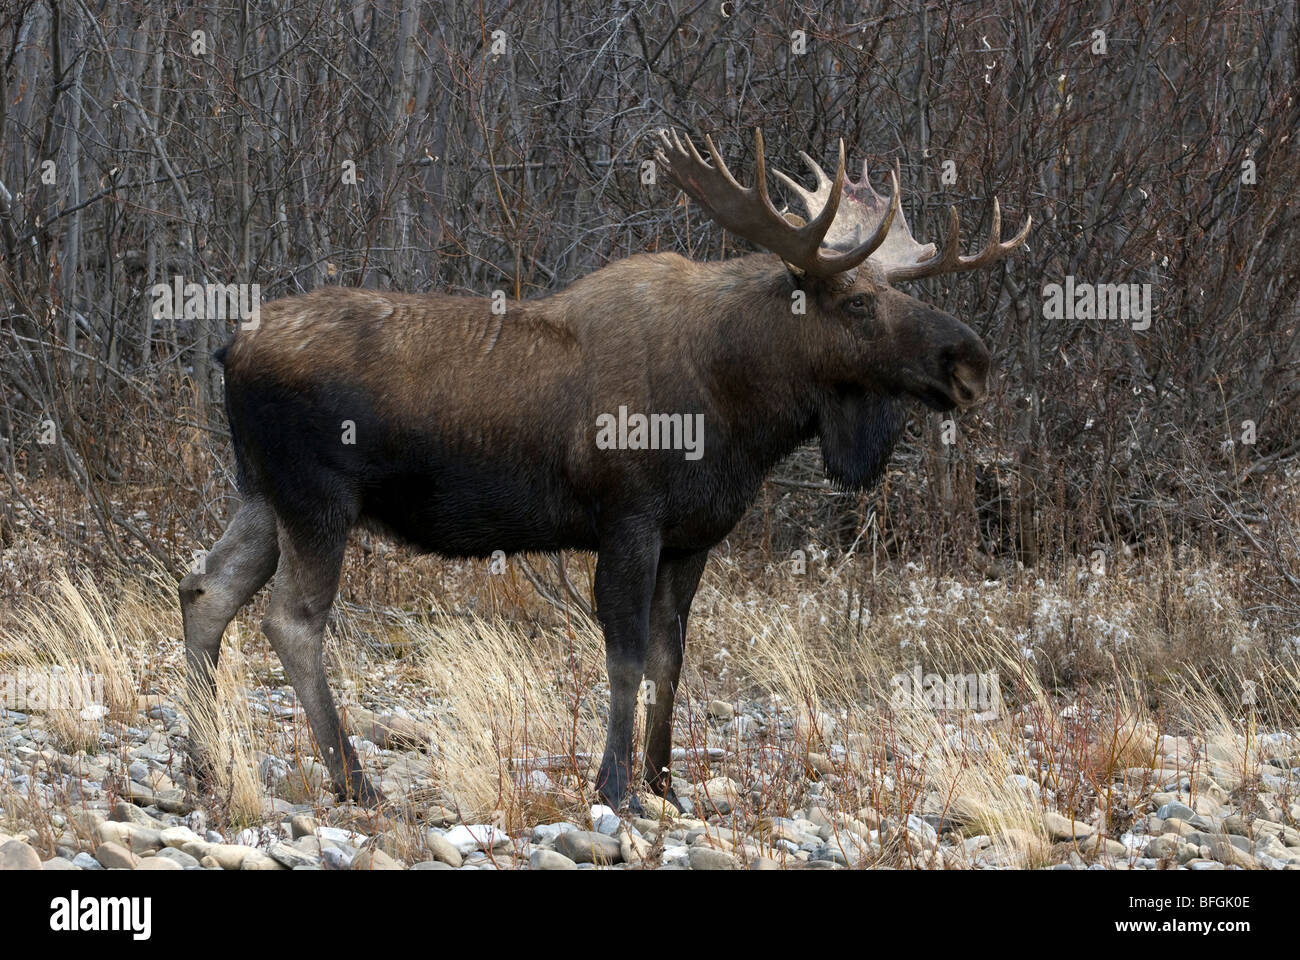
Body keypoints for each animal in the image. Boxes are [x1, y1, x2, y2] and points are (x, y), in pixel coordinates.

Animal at [178, 129, 1030, 814]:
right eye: (854, 303)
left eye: (888, 289)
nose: (971, 361)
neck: (740, 405)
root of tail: (228, 351)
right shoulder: (628, 520)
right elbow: (623, 658)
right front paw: (613, 785)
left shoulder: (693, 538)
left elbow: (669, 661)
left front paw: (666, 785)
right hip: (318, 498)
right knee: (291, 620)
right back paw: (351, 779)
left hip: (262, 495)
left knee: (205, 589)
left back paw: (206, 767)